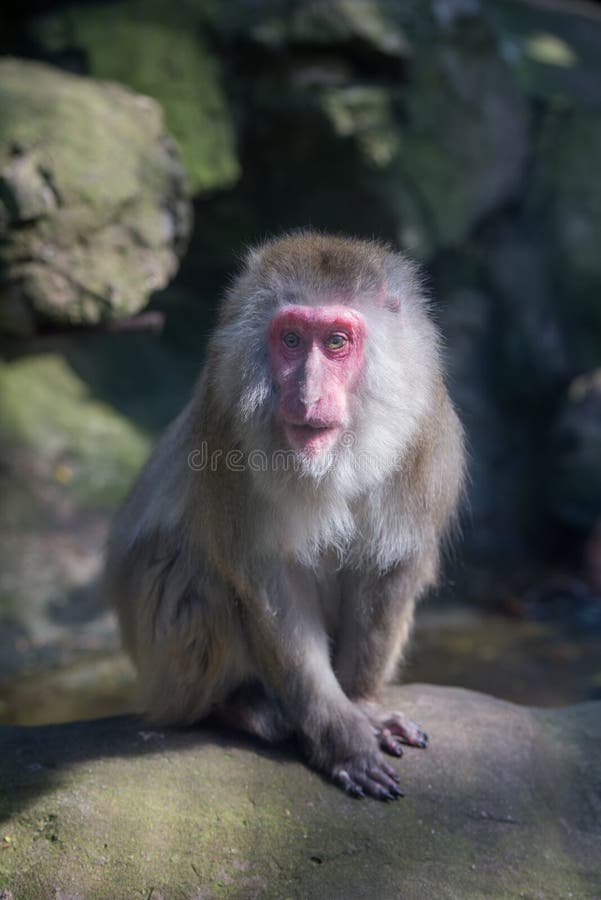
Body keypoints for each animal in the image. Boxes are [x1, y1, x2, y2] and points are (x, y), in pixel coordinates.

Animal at [105, 231, 465, 800]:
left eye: (336, 341)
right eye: (292, 339)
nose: (306, 394)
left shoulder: (425, 431)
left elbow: (388, 568)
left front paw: (362, 704)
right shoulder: (226, 426)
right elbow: (272, 584)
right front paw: (341, 738)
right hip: (165, 672)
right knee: (194, 572)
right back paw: (236, 707)